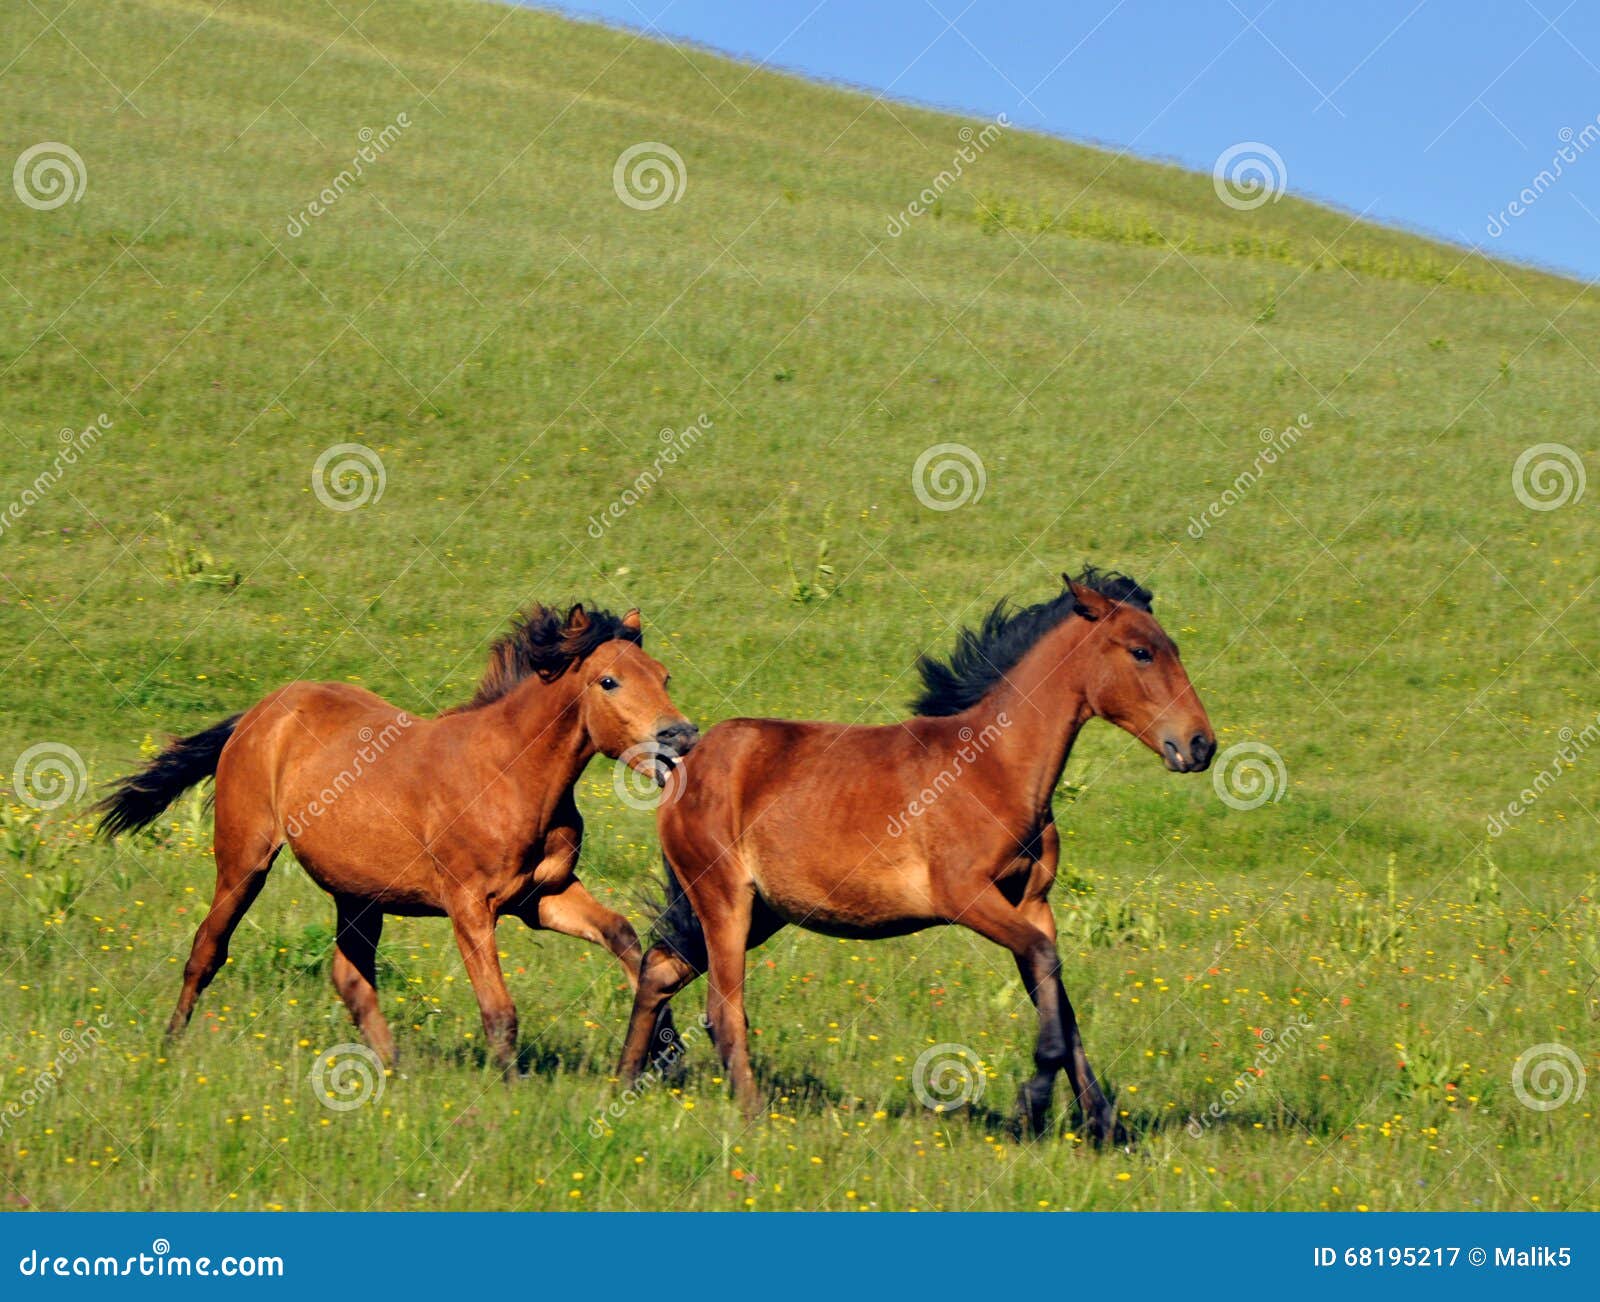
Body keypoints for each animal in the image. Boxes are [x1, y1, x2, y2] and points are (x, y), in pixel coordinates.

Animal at [96, 602, 698, 1073]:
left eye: (664, 676)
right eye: (609, 681)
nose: (681, 735)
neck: (507, 775)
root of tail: (260, 714)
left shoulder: (540, 897)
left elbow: (623, 935)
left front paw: (667, 1050)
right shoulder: (469, 905)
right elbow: (499, 1011)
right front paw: (510, 1093)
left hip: (358, 893)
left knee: (350, 977)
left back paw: (392, 1069)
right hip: (245, 861)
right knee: (207, 949)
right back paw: (169, 1046)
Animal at [617, 568, 1215, 1143]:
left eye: (1173, 647)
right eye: (1141, 652)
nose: (1200, 745)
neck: (993, 769)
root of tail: (685, 765)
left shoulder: (1032, 903)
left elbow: (1061, 1003)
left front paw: (1108, 1126)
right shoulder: (966, 897)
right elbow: (1047, 966)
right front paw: (1033, 1101)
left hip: (761, 911)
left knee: (660, 967)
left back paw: (623, 1082)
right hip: (725, 901)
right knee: (723, 1009)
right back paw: (754, 1114)